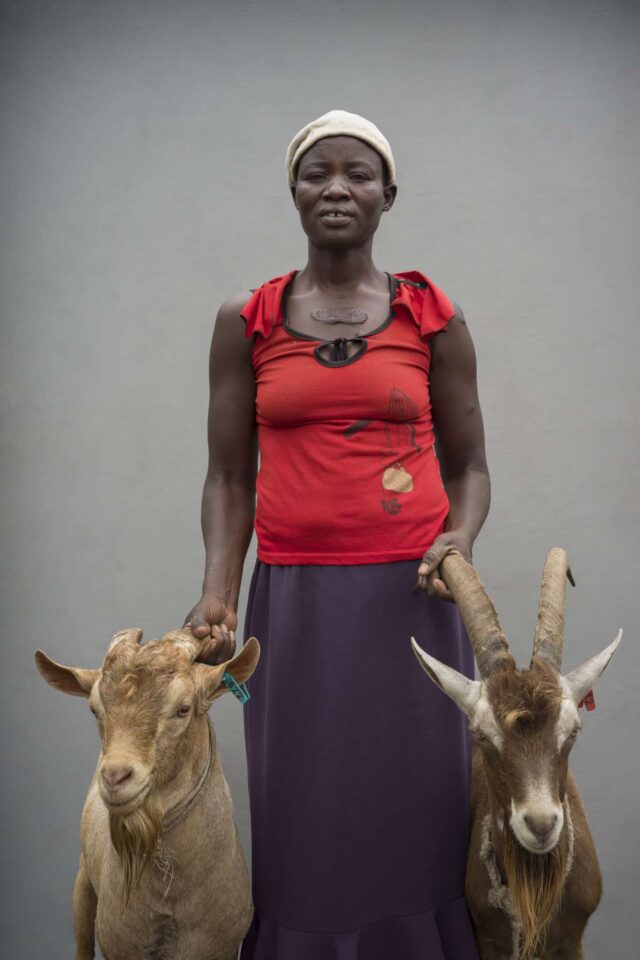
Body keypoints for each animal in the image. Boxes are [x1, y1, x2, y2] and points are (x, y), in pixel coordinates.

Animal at [36, 627, 260, 960]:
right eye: (94, 709)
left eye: (183, 708)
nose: (115, 777)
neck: (170, 899)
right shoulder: (120, 947)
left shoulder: (223, 948)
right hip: (83, 883)